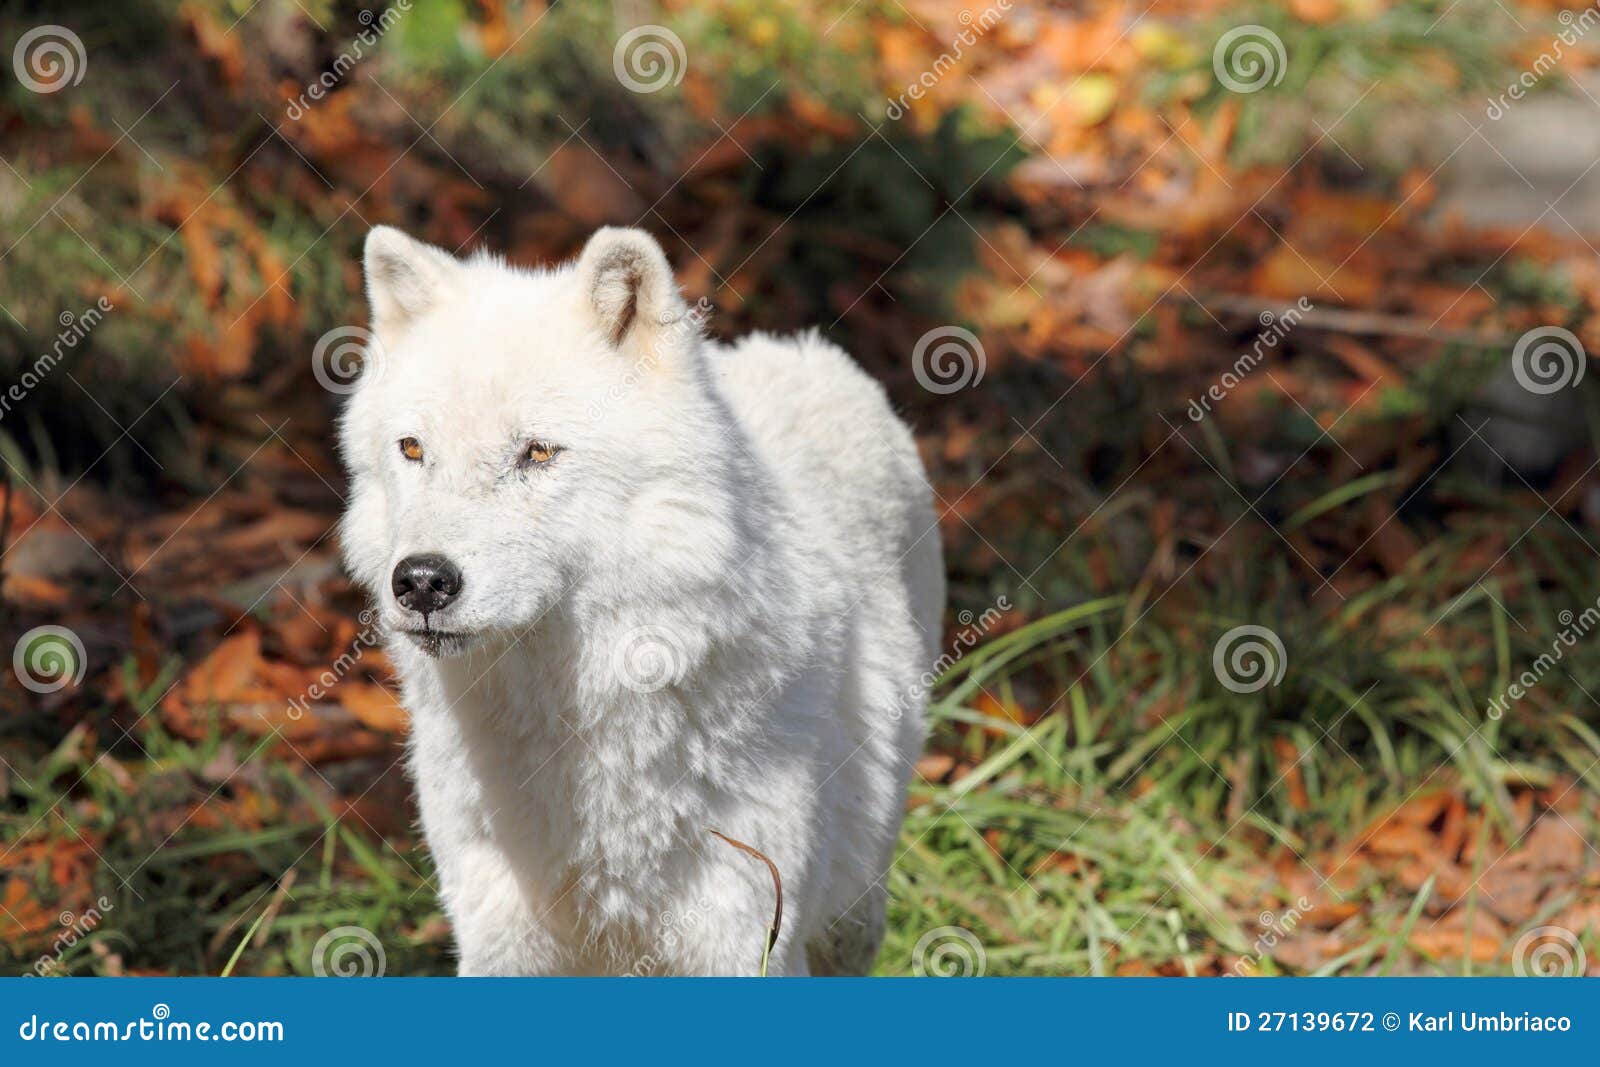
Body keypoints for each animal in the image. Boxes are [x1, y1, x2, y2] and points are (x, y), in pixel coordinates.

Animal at [337, 225, 945, 975]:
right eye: (414, 449)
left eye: (538, 453)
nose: (421, 580)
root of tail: (801, 346)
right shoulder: (501, 937)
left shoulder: (743, 936)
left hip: (853, 907)